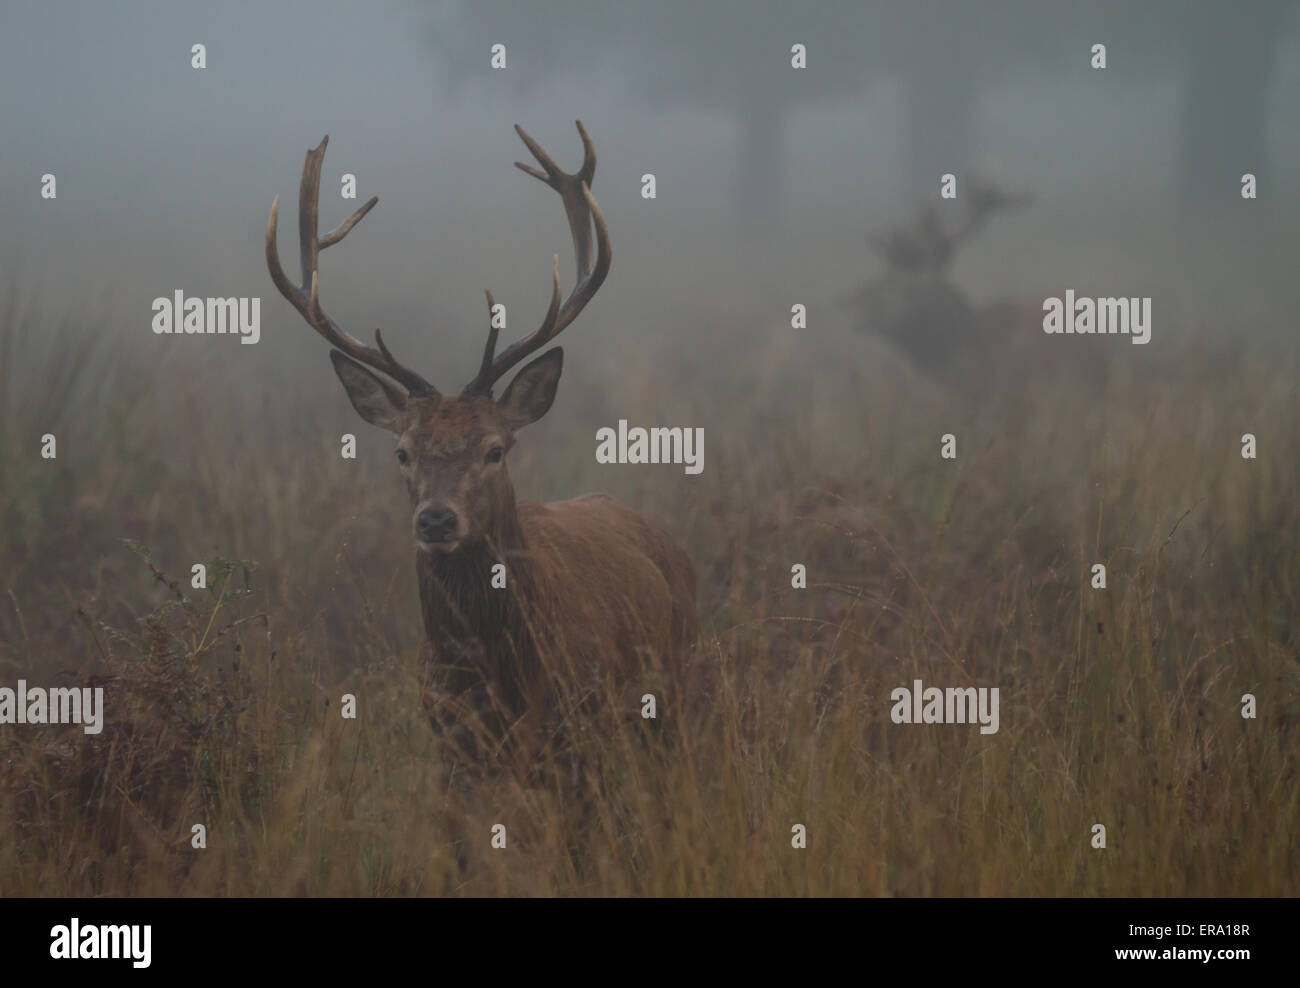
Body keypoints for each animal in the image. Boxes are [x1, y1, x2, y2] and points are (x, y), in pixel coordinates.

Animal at [265, 123, 698, 771]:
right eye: (403, 452)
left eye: (495, 450)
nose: (436, 520)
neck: (500, 678)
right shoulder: (448, 738)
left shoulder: (579, 730)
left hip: (680, 685)